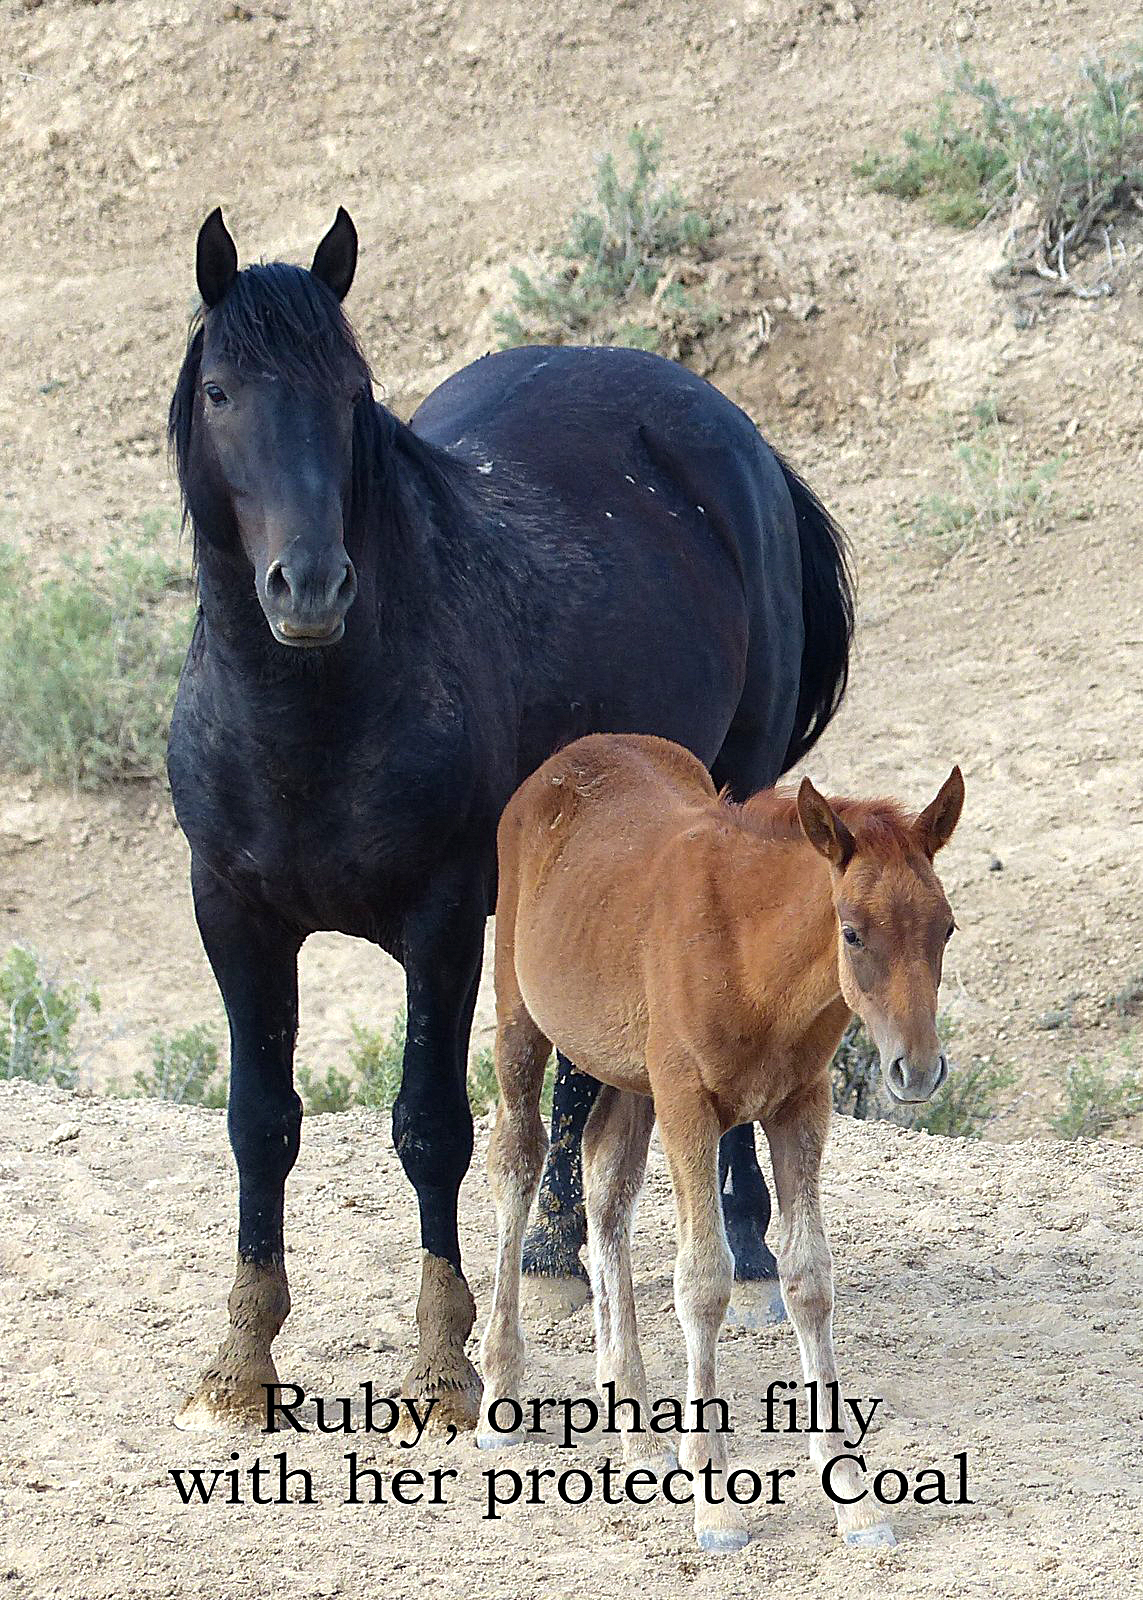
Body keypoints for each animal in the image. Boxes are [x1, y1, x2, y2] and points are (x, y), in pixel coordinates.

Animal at [166, 206, 853, 1431]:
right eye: (221, 391)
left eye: (351, 390)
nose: (310, 585)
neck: (308, 717)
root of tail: (738, 442)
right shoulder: (233, 917)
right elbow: (260, 1121)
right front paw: (242, 1358)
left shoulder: (441, 920)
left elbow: (431, 1126)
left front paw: (443, 1365)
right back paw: (555, 1247)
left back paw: (741, 1244)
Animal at [479, 733, 963, 1552]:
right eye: (851, 930)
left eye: (946, 928)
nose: (917, 1068)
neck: (752, 958)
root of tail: (568, 758)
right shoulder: (688, 1105)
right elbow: (703, 1280)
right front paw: (714, 1501)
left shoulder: (800, 1106)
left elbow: (808, 1278)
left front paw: (852, 1496)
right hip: (524, 1024)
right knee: (519, 1162)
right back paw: (499, 1392)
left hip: (628, 1074)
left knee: (606, 1189)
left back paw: (632, 1418)